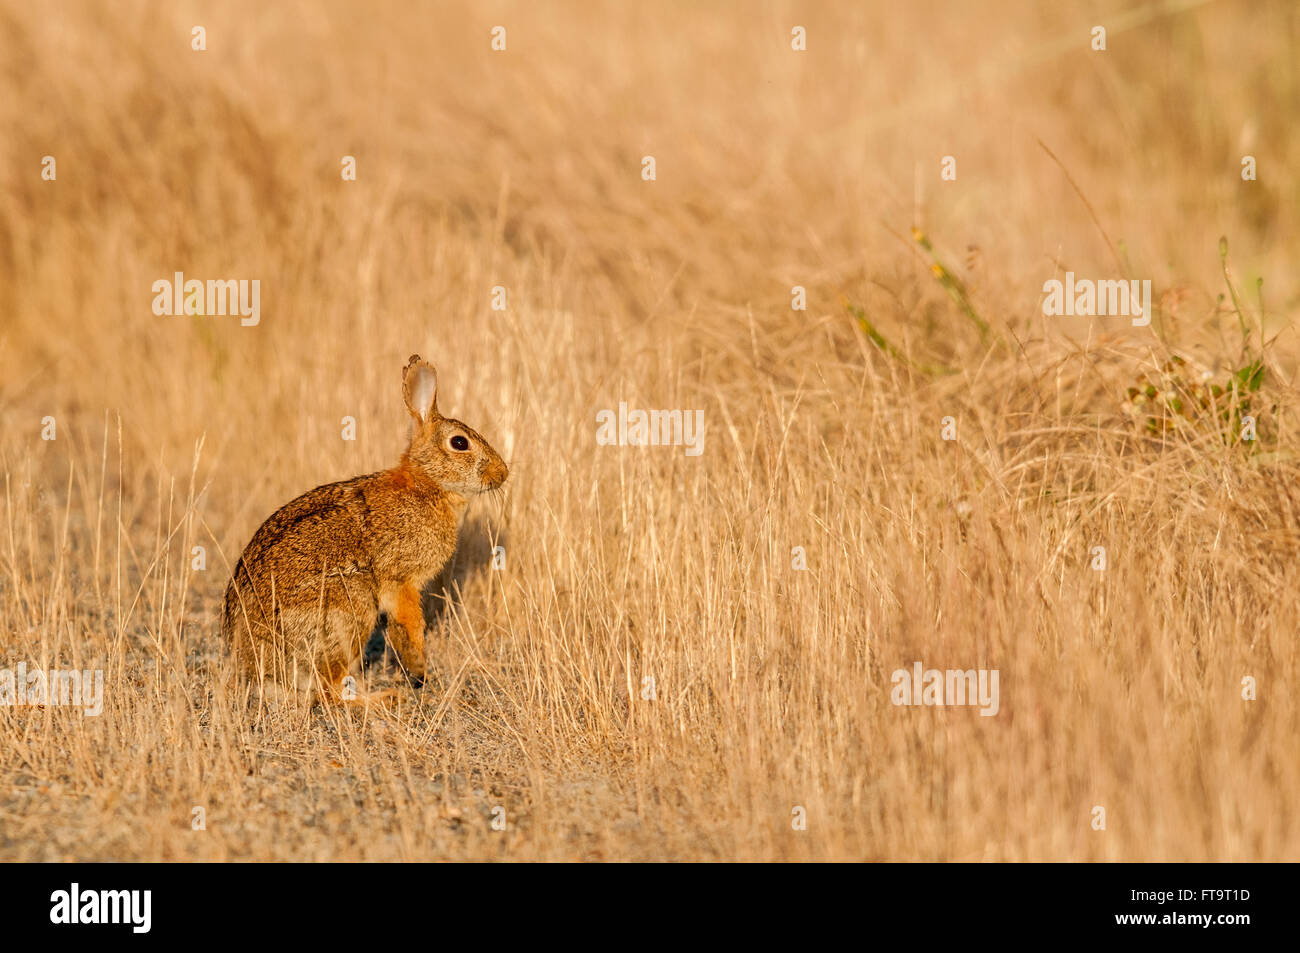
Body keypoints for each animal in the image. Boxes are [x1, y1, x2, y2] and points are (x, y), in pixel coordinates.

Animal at [221, 354, 508, 705]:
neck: (427, 485)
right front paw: (419, 668)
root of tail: (256, 669)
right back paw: (384, 698)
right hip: (349, 608)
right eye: (459, 443)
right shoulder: (400, 579)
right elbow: (409, 624)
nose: (503, 473)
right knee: (329, 691)